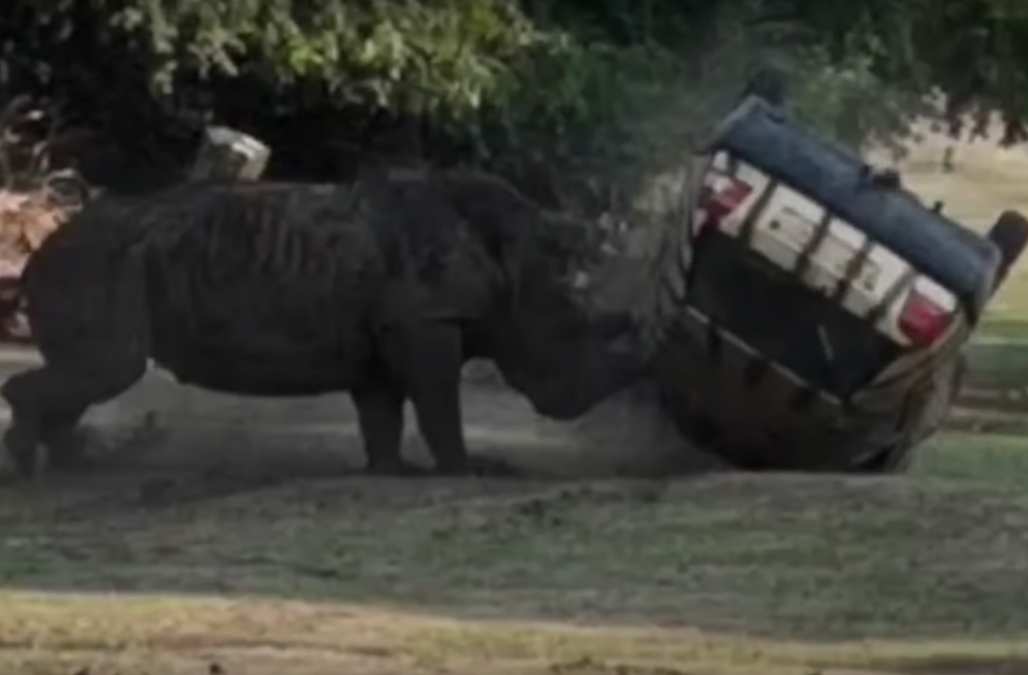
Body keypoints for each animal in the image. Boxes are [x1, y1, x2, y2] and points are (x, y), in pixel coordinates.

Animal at [1, 168, 668, 478]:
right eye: (569, 328)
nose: (573, 402)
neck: (513, 255)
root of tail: (33, 253)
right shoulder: (425, 320)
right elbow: (438, 403)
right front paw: (467, 470)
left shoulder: (382, 337)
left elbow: (383, 412)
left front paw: (392, 472)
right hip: (98, 263)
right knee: (111, 368)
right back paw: (31, 469)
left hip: (102, 262)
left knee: (91, 374)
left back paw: (72, 466)